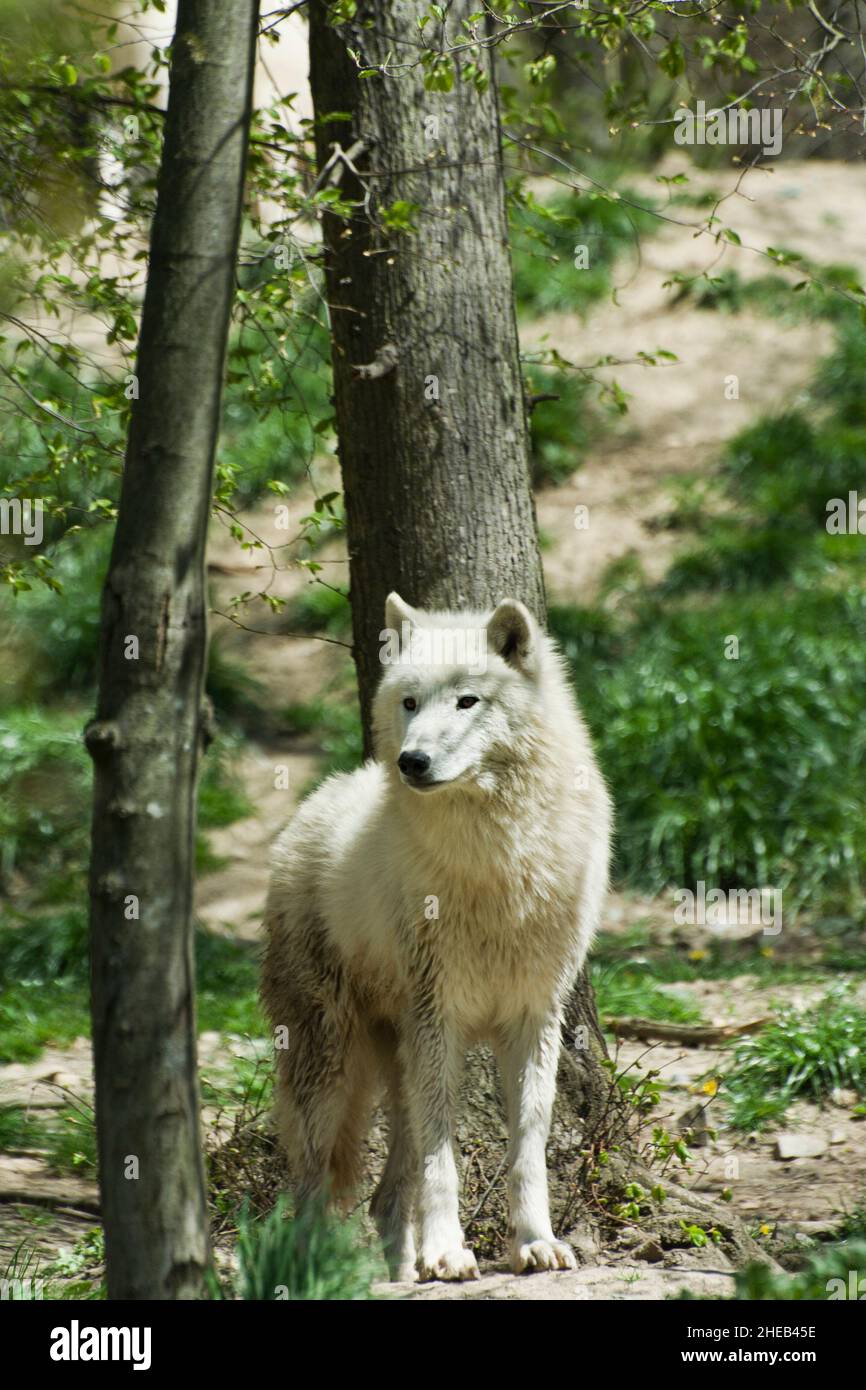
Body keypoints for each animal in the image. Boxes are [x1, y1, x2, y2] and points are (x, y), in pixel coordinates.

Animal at [261, 592, 612, 1282]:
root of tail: (310, 807)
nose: (411, 762)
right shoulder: (437, 1018)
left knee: (383, 1196)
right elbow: (441, 1158)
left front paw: (535, 1242)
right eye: (409, 702)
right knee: (312, 1183)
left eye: (466, 701)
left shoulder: (535, 1016)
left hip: (394, 1065)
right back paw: (320, 1270)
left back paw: (400, 1270)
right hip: (332, 1068)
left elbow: (528, 1144)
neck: (498, 865)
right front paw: (449, 1251)